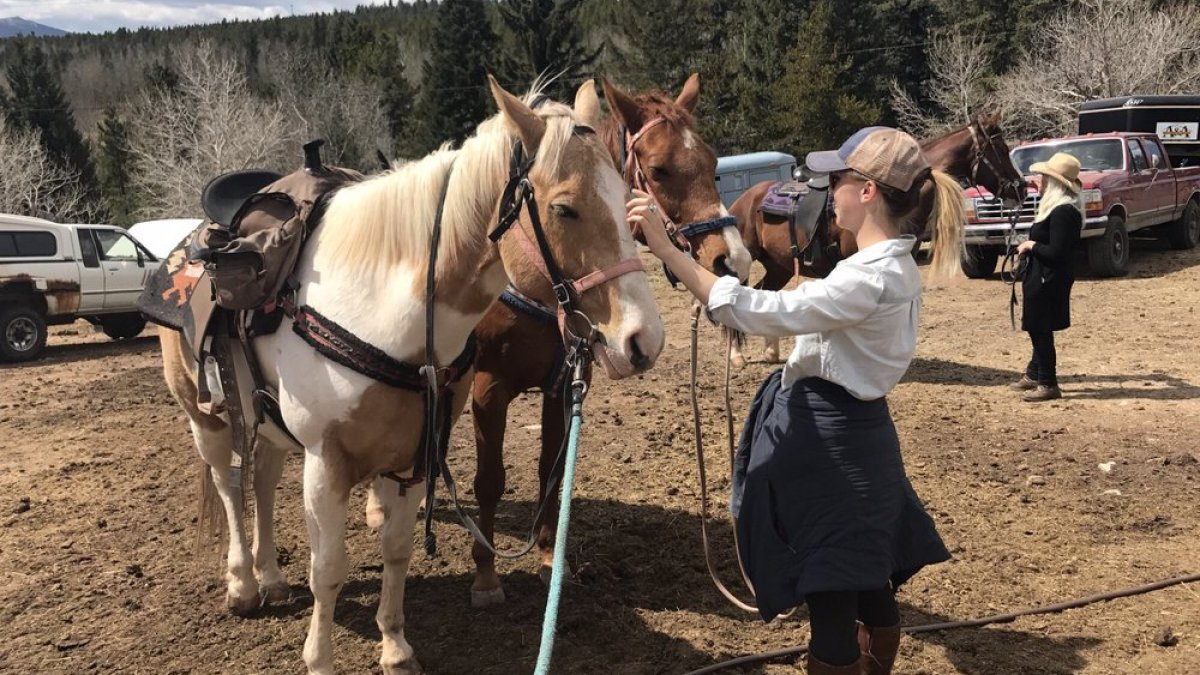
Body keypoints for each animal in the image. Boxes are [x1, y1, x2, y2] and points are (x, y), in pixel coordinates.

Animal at [159, 76, 666, 675]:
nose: (643, 340)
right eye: (565, 208)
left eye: (626, 195)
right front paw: (320, 659)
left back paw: (272, 577)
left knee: (260, 478)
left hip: (269, 423)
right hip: (205, 418)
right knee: (230, 483)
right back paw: (242, 584)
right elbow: (328, 569)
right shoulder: (325, 461)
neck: (380, 310)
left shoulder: (415, 454)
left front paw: (396, 647)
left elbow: (398, 549)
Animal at [465, 74, 752, 607]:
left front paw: (548, 559)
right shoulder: (488, 388)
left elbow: (550, 471)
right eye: (659, 170)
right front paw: (487, 576)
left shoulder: (562, 386)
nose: (733, 259)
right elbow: (490, 481)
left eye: (713, 164)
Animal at [729, 113, 1026, 364]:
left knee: (762, 292)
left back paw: (770, 353)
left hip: (779, 266)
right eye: (1001, 149)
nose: (1021, 188)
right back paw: (737, 356)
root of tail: (742, 201)